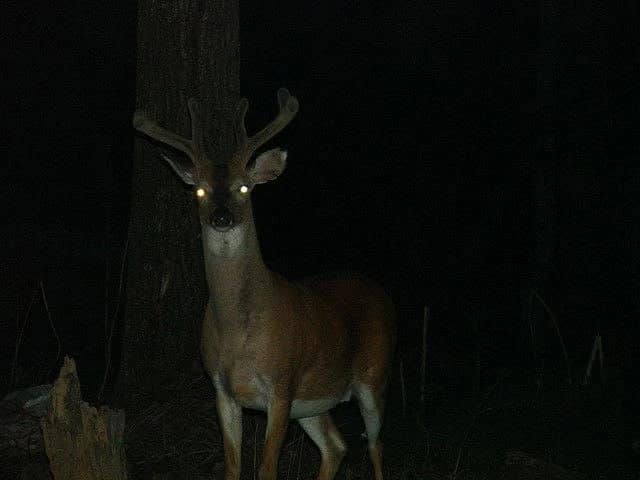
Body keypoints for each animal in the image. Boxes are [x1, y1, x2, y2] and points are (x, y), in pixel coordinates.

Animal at [133, 88, 396, 480]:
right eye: (199, 191)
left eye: (244, 187)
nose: (221, 216)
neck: (239, 333)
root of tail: (381, 294)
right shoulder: (222, 390)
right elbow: (232, 467)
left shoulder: (282, 384)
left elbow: (266, 469)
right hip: (314, 401)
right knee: (336, 446)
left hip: (373, 375)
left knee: (376, 446)